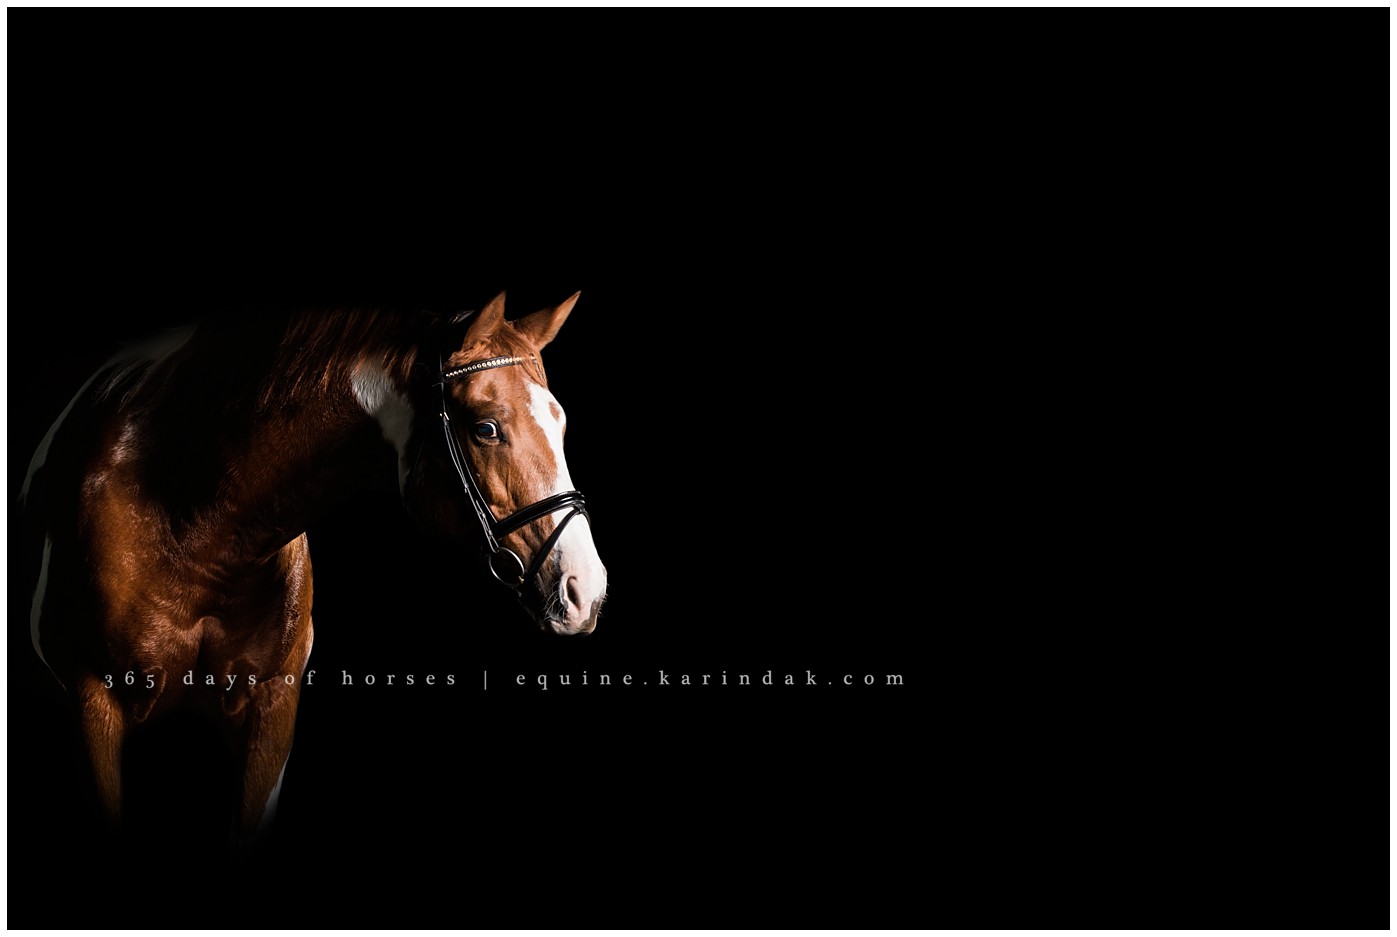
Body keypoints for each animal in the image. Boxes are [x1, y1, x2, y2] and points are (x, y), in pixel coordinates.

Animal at [20, 290, 607, 839]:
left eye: (560, 423)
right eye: (486, 428)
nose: (584, 590)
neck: (193, 529)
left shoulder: (271, 707)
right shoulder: (95, 706)